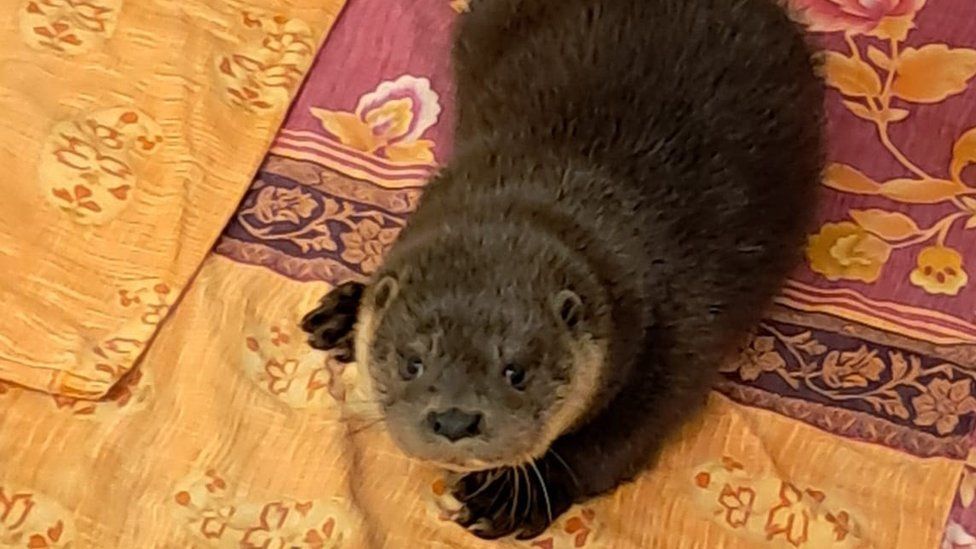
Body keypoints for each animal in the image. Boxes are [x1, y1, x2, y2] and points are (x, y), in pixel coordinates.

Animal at [302, 0, 823, 540]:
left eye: (516, 372)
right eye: (411, 362)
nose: (454, 420)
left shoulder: (679, 335)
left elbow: (620, 441)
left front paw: (508, 495)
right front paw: (348, 311)